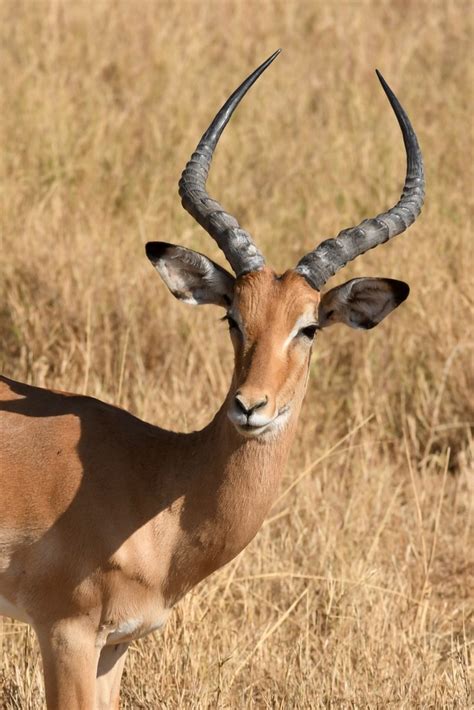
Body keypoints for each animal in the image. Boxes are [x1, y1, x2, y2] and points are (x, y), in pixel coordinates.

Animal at [0, 50, 424, 709]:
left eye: (309, 327)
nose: (250, 406)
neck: (159, 490)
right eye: (232, 316)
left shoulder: (115, 644)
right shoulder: (65, 633)